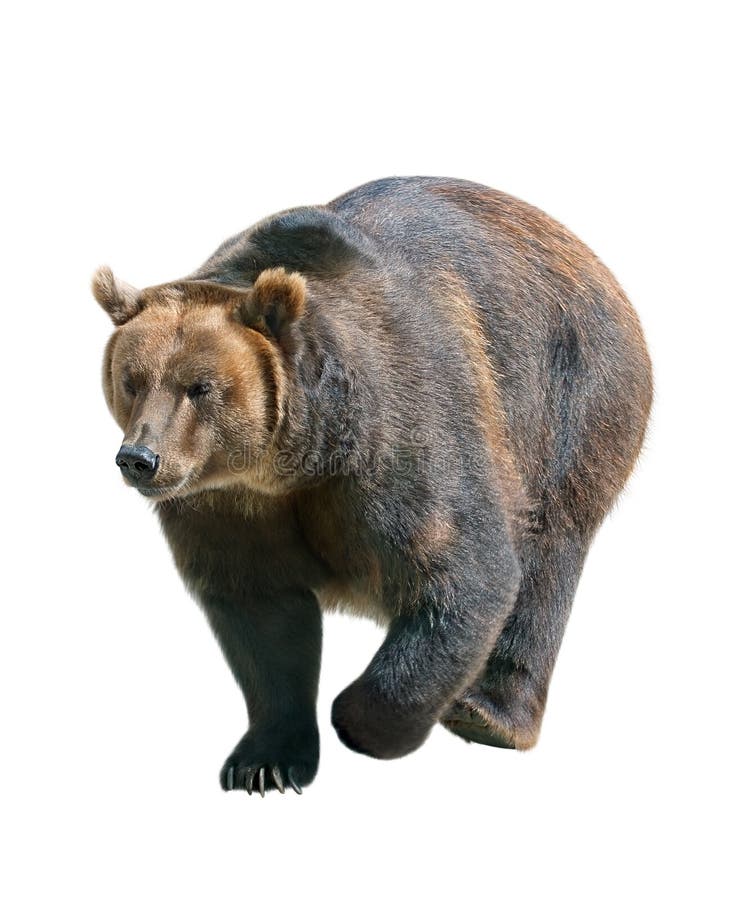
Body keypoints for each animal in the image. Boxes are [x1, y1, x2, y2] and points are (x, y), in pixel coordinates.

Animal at [93, 176, 652, 796]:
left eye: (200, 386)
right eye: (131, 379)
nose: (139, 459)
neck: (296, 459)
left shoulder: (399, 434)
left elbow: (463, 571)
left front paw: (361, 720)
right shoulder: (226, 503)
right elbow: (262, 612)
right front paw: (265, 761)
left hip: (572, 401)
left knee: (548, 551)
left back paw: (487, 714)